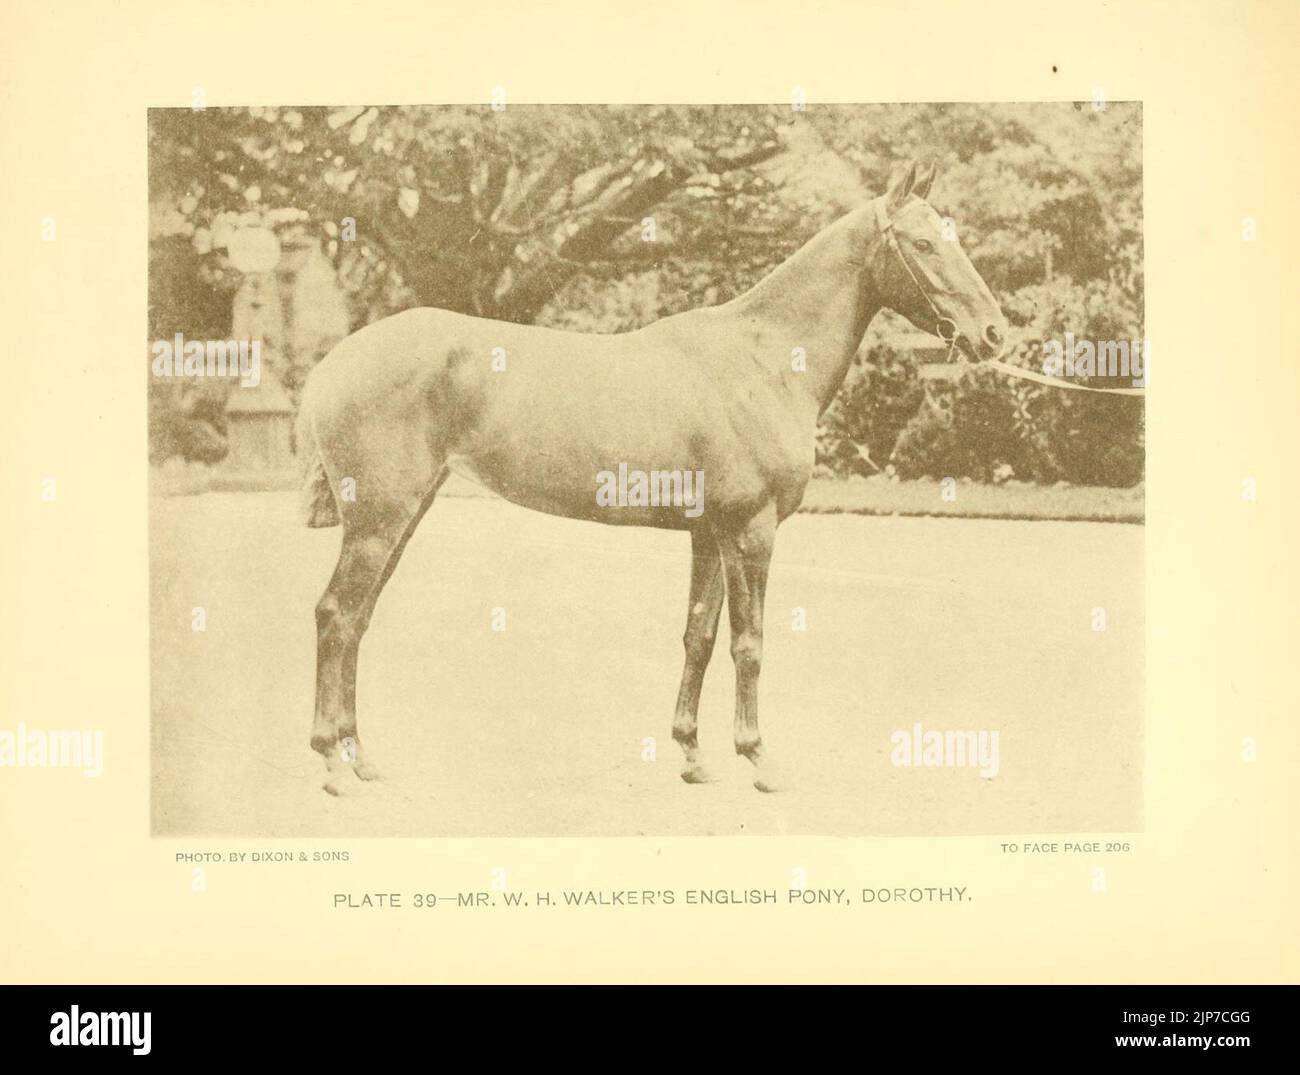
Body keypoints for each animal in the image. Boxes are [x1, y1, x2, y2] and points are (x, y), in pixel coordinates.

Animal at [295, 160, 1007, 796]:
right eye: (923, 243)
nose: (995, 334)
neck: (765, 360)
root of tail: (336, 359)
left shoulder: (711, 533)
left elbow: (699, 636)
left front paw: (693, 755)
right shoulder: (752, 531)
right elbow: (749, 644)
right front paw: (758, 759)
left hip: (405, 514)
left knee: (358, 619)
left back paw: (360, 760)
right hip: (380, 519)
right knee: (335, 614)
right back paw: (329, 763)